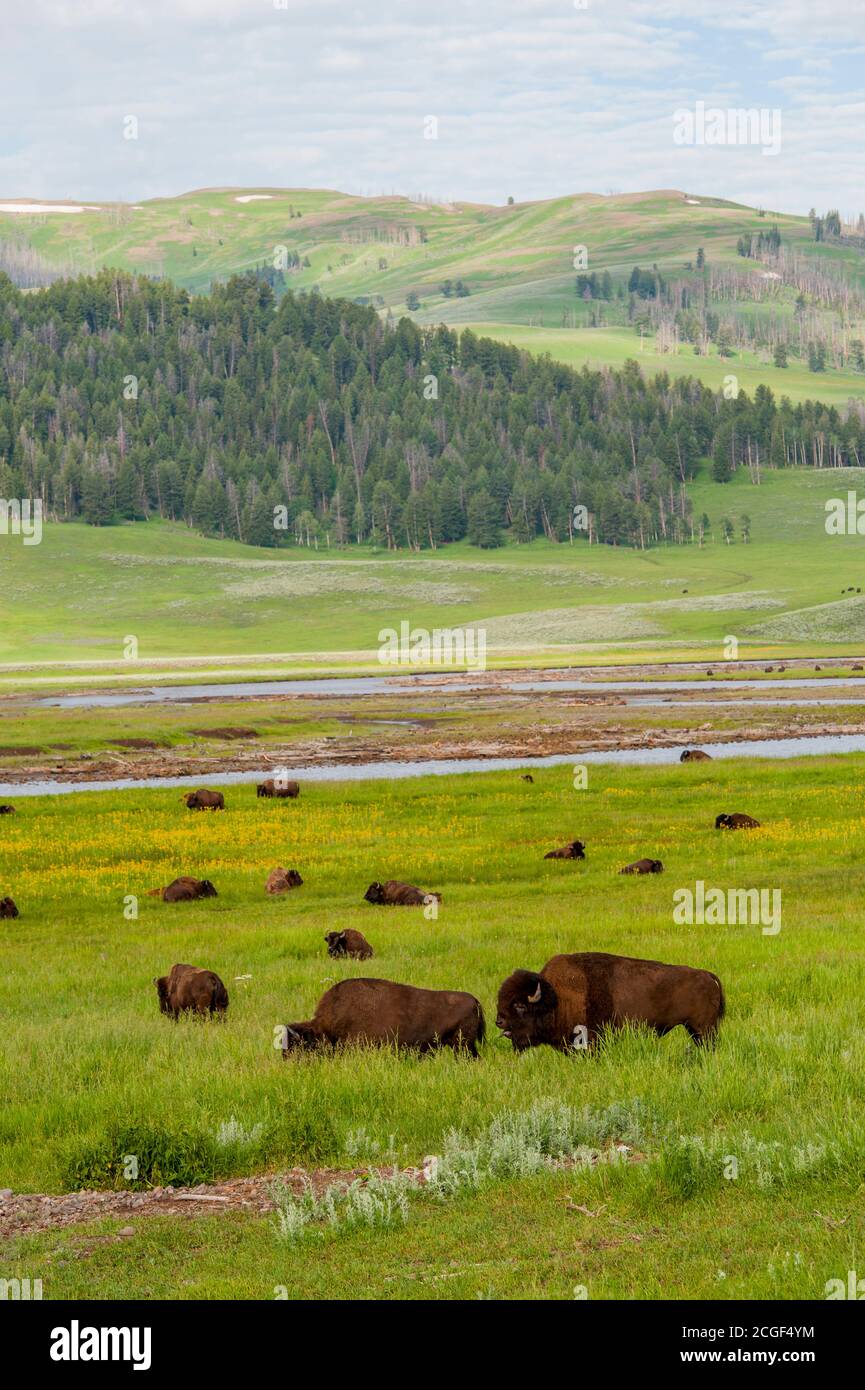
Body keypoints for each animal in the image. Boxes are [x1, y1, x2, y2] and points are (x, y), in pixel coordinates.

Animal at [496, 951, 725, 1051]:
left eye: (519, 1005)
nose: (499, 1021)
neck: (557, 998)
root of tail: (708, 976)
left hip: (704, 1029)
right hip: (694, 1030)